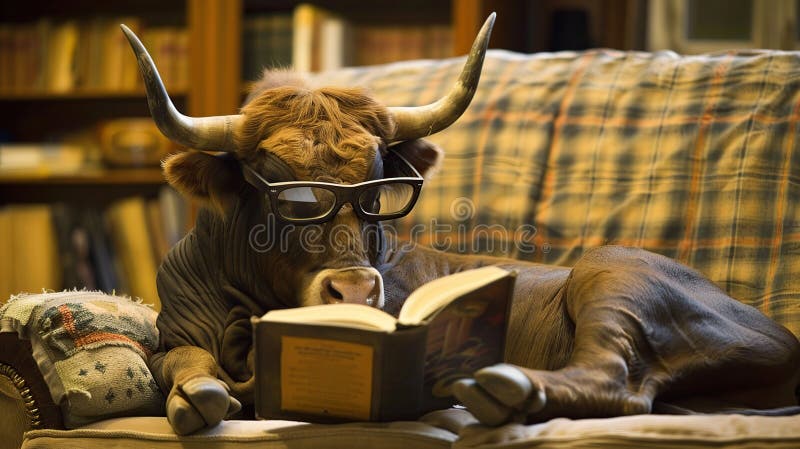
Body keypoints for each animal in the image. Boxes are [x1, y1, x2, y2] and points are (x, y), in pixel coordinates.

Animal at [121, 14, 800, 436]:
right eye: (284, 188)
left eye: (379, 182)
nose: (355, 291)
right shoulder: (175, 335)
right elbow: (177, 361)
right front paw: (199, 392)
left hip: (613, 273)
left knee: (619, 379)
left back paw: (504, 389)